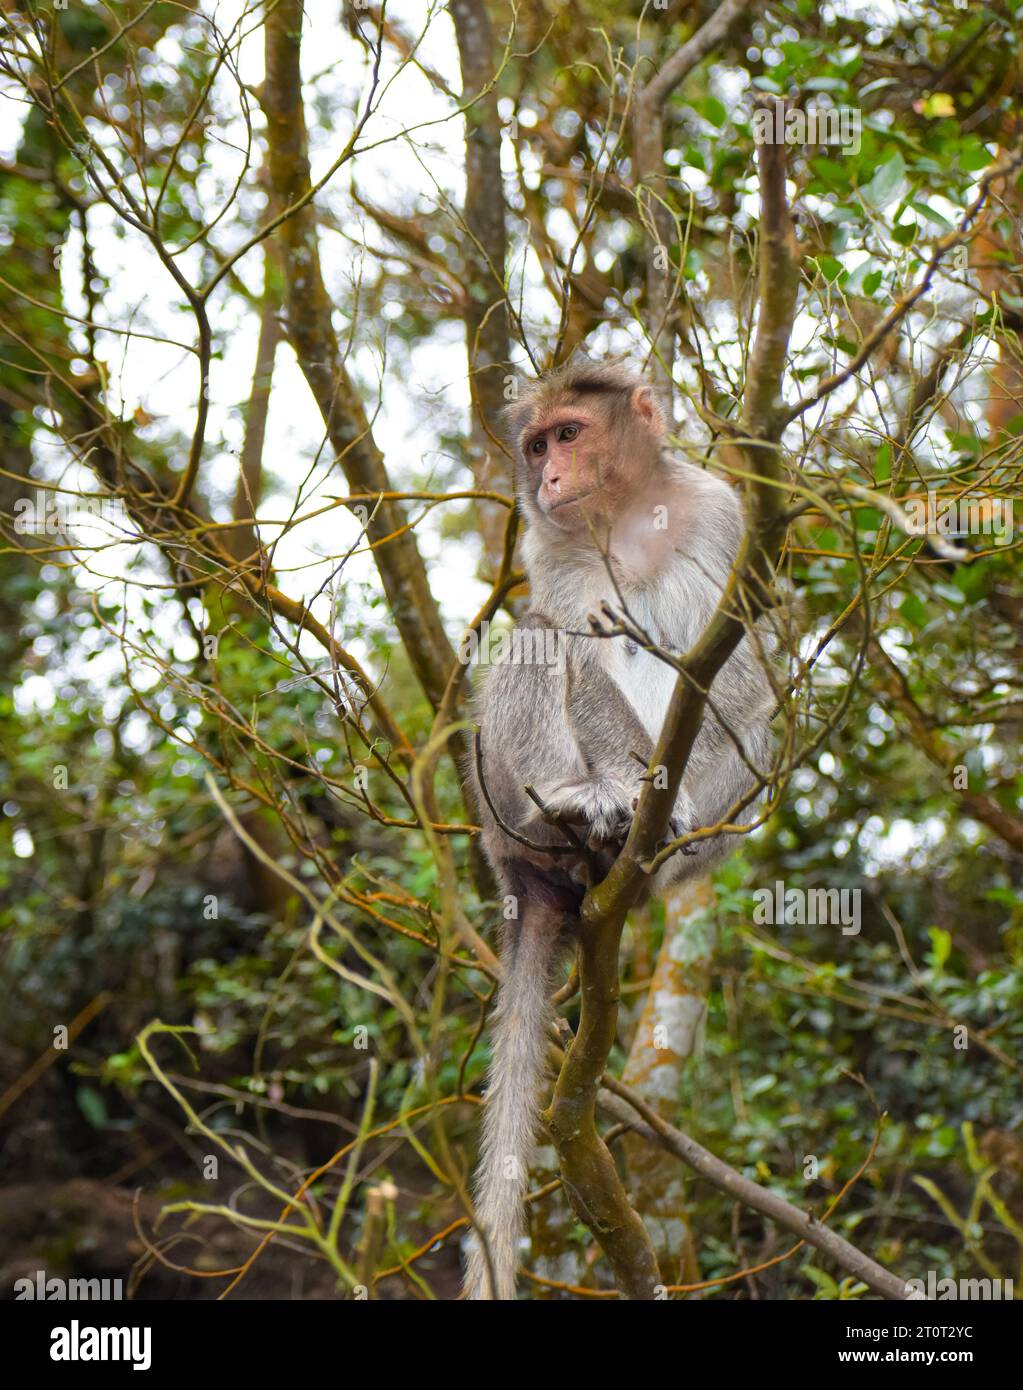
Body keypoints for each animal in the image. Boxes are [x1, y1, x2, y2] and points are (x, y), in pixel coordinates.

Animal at [462, 357, 776, 1301]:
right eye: (535, 446)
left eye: (568, 434)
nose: (547, 478)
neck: (628, 516)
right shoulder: (551, 546)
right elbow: (573, 640)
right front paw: (627, 788)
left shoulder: (720, 508)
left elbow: (744, 670)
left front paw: (671, 794)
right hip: (499, 809)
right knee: (532, 636)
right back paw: (577, 811)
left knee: (761, 730)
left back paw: (654, 848)